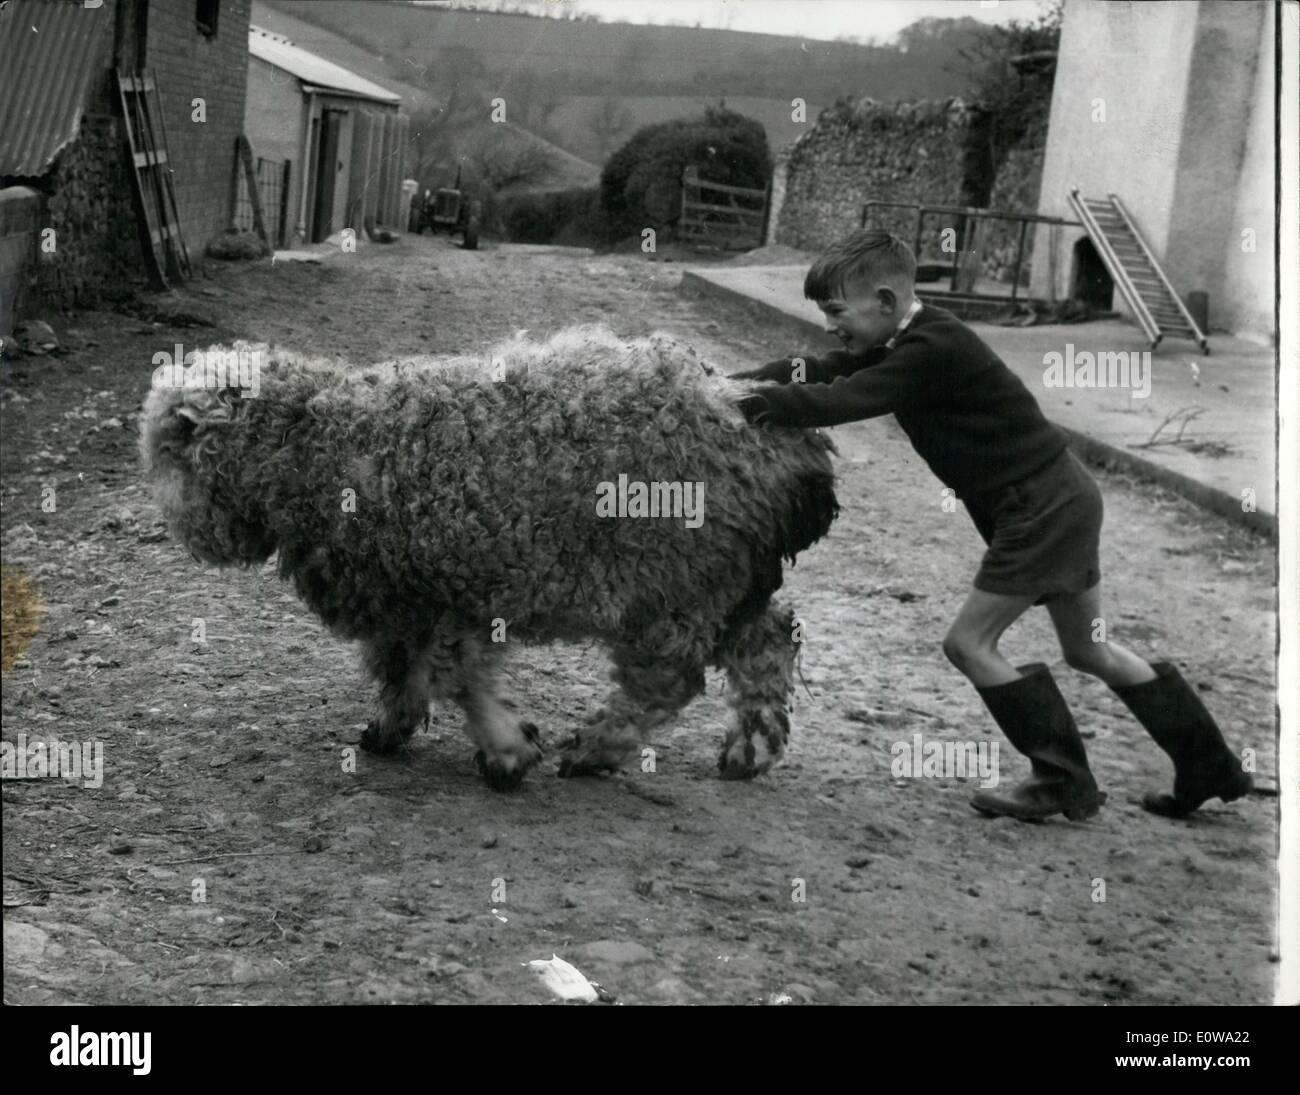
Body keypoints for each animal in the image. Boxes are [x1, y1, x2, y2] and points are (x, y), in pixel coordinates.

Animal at [139, 326, 838, 789]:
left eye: (171, 449)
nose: (182, 532)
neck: (321, 443)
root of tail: (778, 437)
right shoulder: (412, 595)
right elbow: (402, 667)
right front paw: (390, 729)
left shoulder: (460, 587)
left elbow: (459, 676)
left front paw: (507, 752)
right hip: (722, 579)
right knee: (768, 642)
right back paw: (749, 751)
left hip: (670, 577)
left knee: (668, 678)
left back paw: (596, 749)